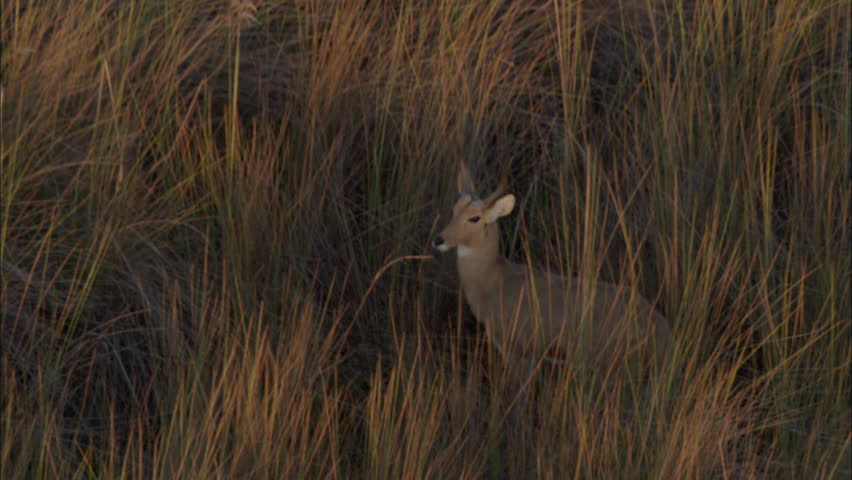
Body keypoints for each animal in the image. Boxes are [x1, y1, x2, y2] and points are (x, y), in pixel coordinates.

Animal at [432, 162, 673, 388]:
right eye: (454, 209)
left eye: (474, 218)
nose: (439, 239)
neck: (495, 281)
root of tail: (660, 327)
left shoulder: (518, 352)